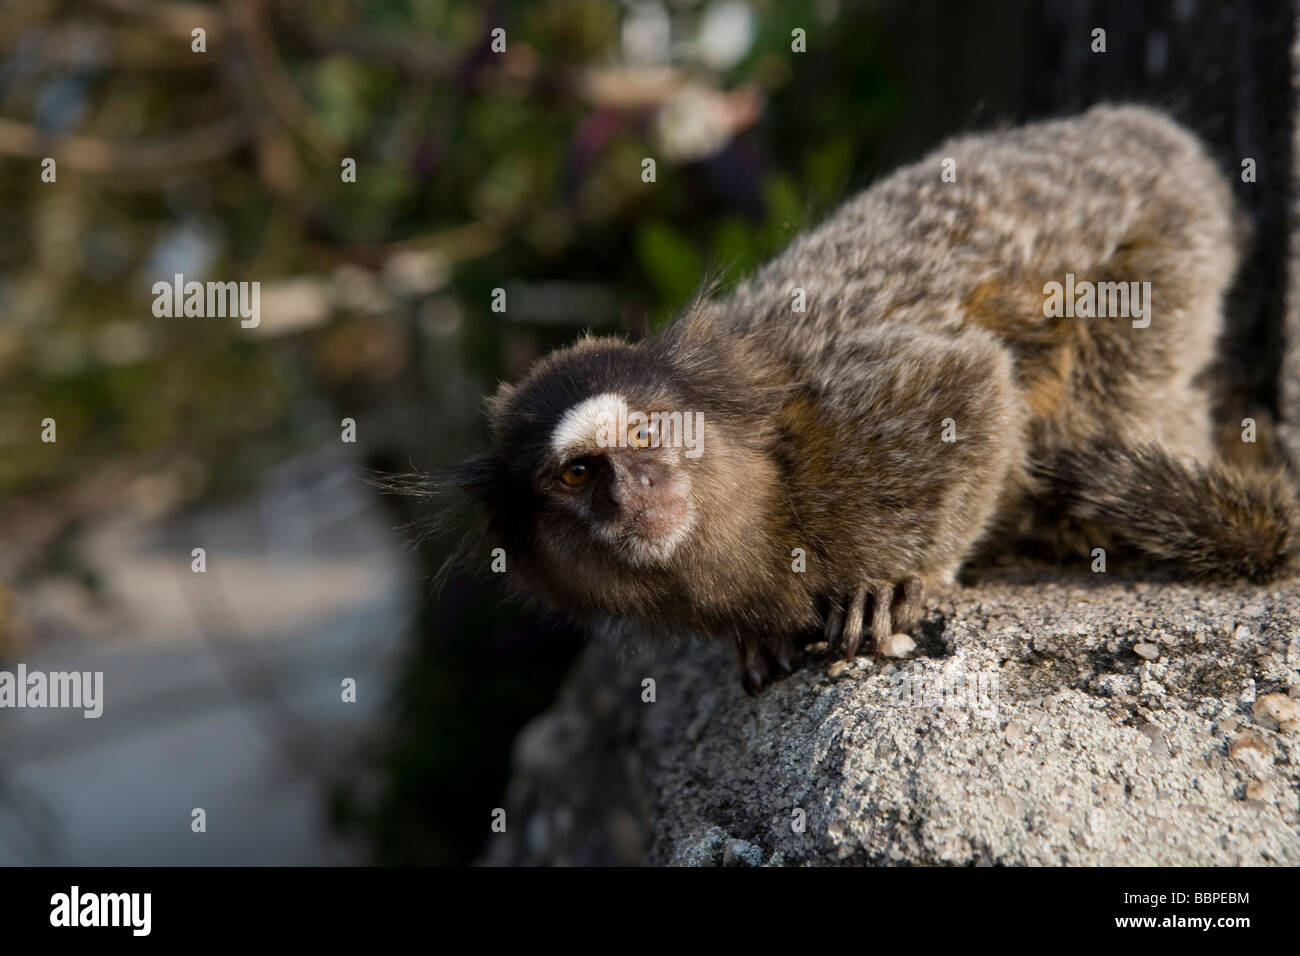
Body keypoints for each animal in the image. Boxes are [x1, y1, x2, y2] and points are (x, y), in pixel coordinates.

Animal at [434, 104, 1298, 694]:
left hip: (1168, 238)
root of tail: (1138, 128)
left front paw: (906, 578)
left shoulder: (855, 423)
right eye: (580, 474)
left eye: (646, 440)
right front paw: (757, 636)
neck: (769, 487)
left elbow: (976, 385)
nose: (636, 488)